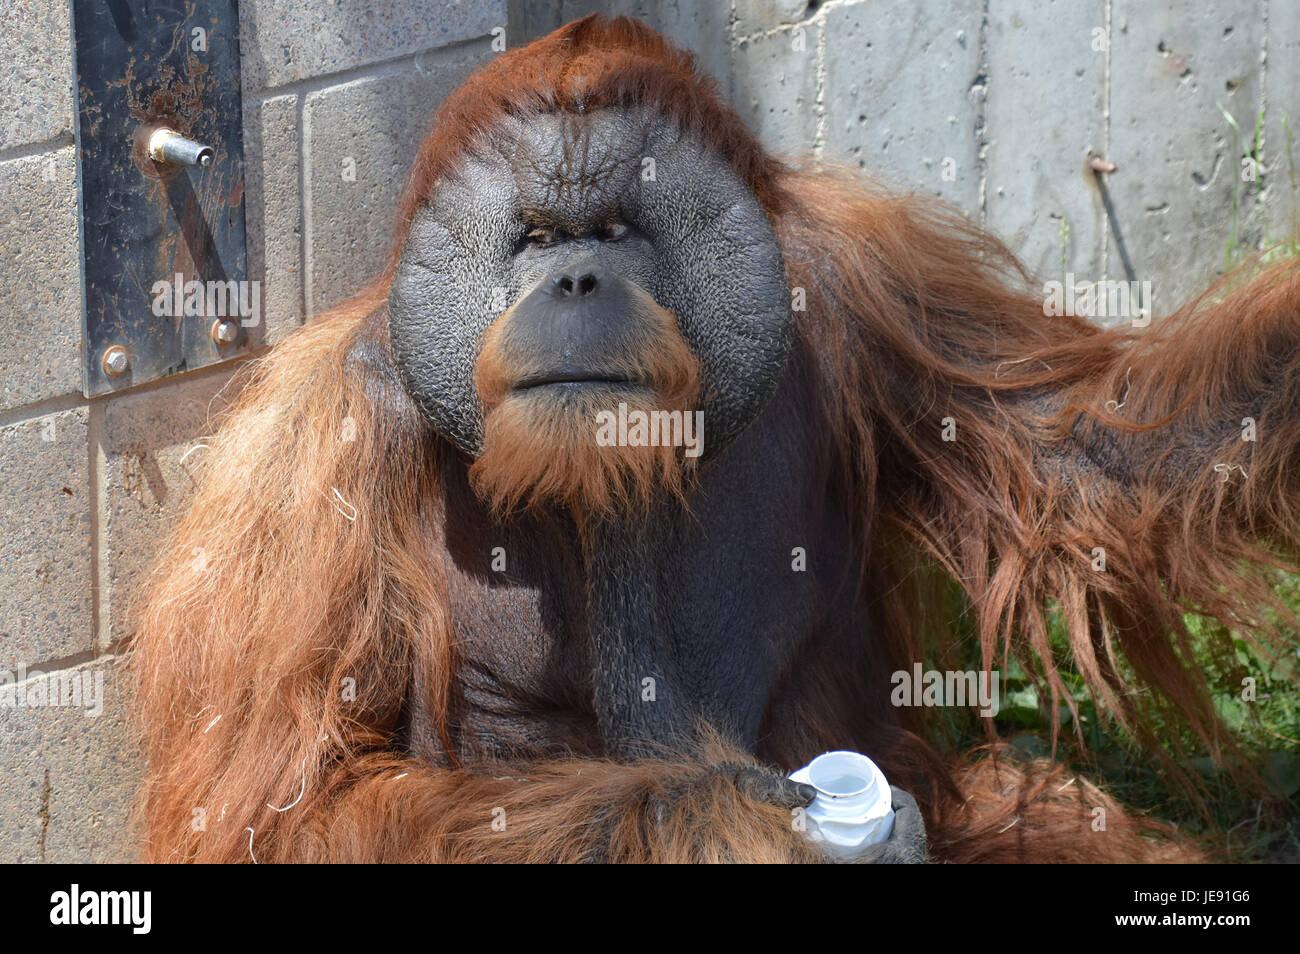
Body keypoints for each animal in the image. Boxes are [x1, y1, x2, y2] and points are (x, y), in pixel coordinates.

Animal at [132, 16, 1300, 863]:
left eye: (615, 232)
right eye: (538, 240)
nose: (576, 278)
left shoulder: (871, 274)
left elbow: (1095, 463)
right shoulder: (306, 453)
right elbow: (279, 809)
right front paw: (723, 818)